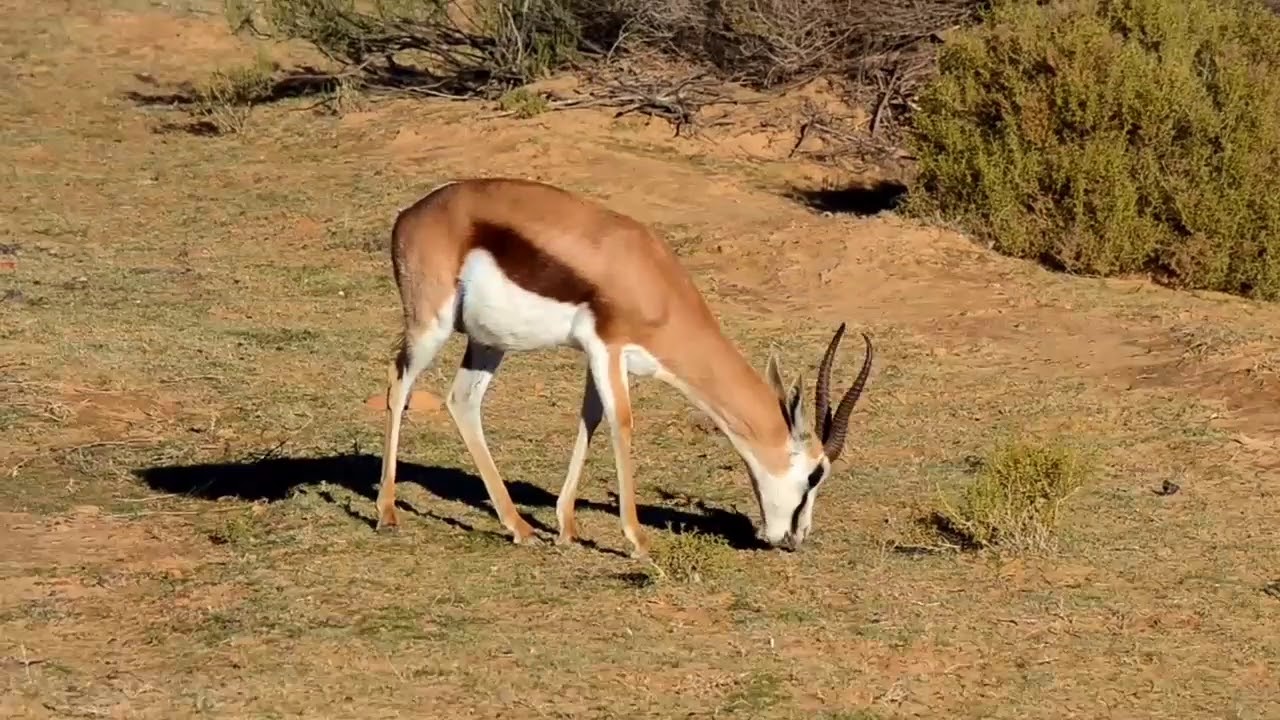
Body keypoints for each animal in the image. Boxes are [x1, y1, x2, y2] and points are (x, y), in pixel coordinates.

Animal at [376, 177, 872, 558]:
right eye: (815, 475)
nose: (795, 538)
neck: (653, 281)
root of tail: (410, 213)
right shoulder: (607, 348)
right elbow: (622, 424)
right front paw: (637, 540)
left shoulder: (601, 357)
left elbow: (590, 419)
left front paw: (567, 527)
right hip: (431, 325)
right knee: (398, 384)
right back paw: (387, 513)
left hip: (488, 341)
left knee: (462, 401)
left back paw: (520, 527)